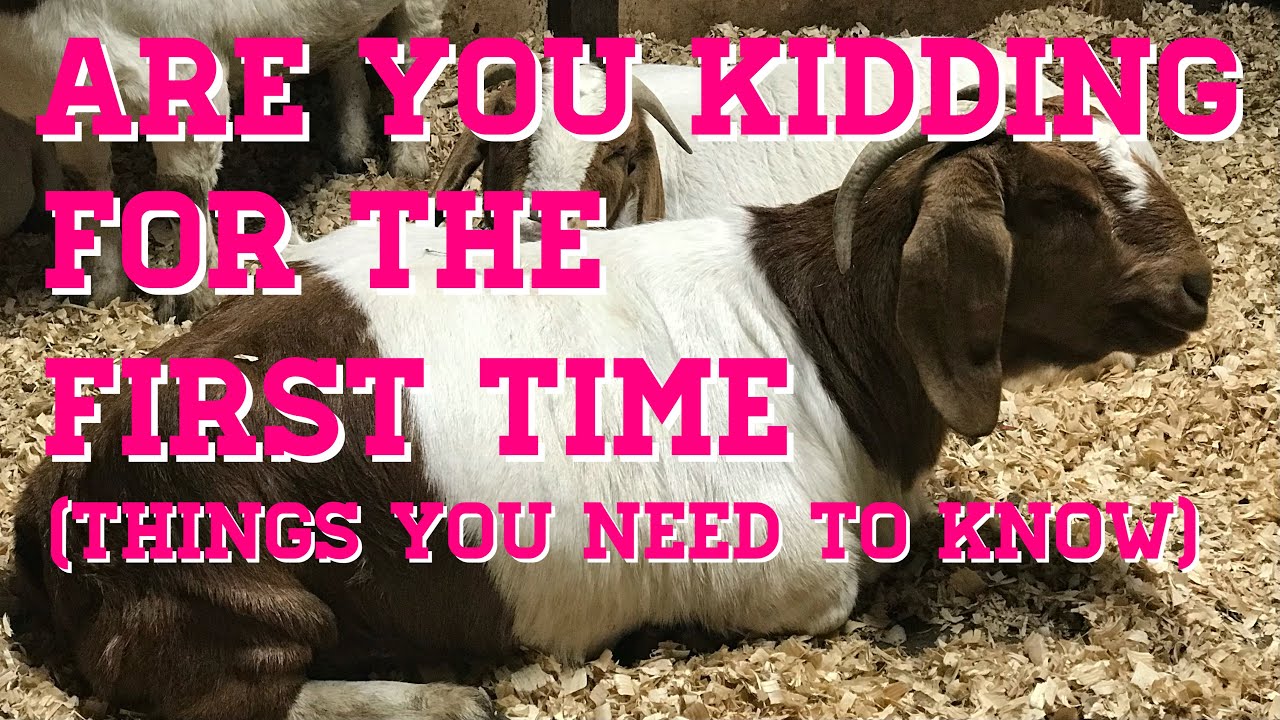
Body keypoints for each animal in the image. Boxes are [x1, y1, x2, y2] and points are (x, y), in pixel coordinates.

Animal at [0, 0, 433, 321]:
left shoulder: (181, 84)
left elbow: (183, 189)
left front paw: (196, 300)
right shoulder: (69, 106)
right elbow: (87, 184)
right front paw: (102, 287)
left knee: (415, 50)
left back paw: (409, 160)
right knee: (347, 48)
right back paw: (352, 147)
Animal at [12, 96, 1212, 720]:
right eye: (1062, 203)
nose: (1198, 283)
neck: (817, 332)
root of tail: (55, 488)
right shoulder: (787, 576)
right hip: (230, 600)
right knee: (219, 691)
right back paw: (436, 699)